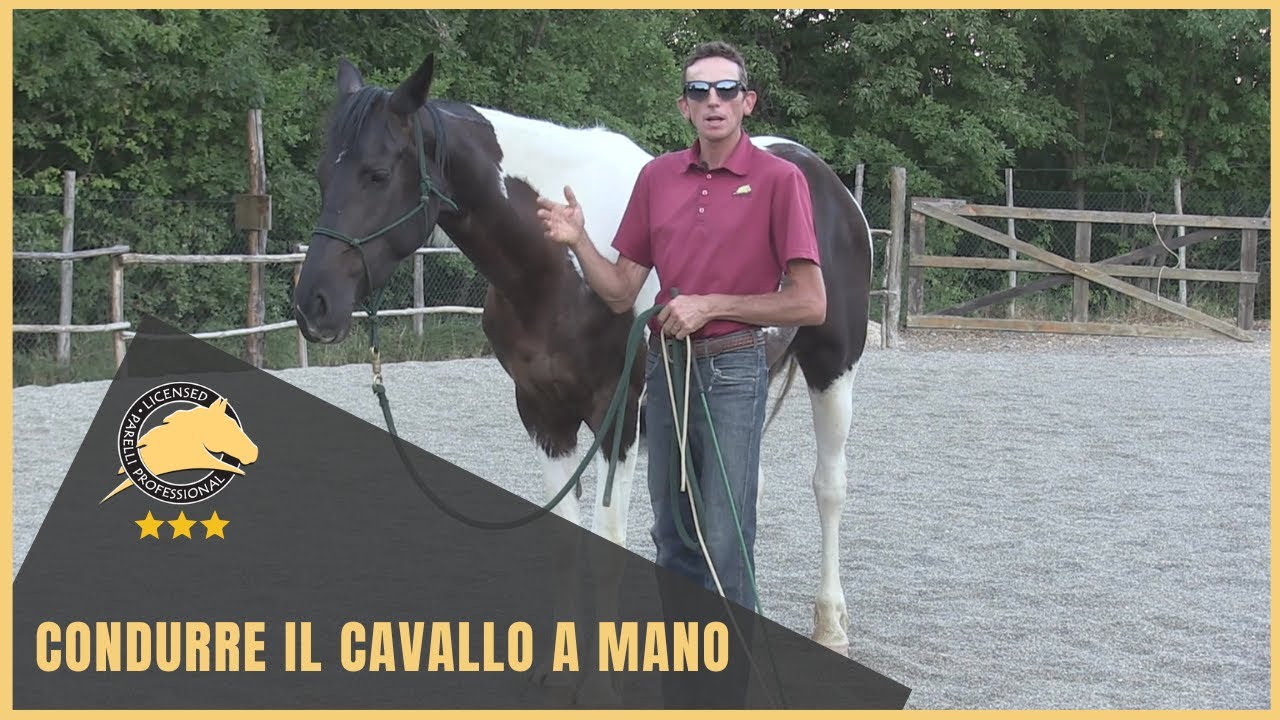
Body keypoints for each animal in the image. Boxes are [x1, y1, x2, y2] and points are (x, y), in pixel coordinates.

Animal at [291, 54, 872, 659]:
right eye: (324, 176)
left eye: (378, 174)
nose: (313, 304)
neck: (558, 271)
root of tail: (824, 178)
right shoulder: (543, 413)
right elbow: (567, 544)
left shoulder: (618, 416)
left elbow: (608, 545)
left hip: (833, 367)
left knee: (827, 487)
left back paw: (830, 626)